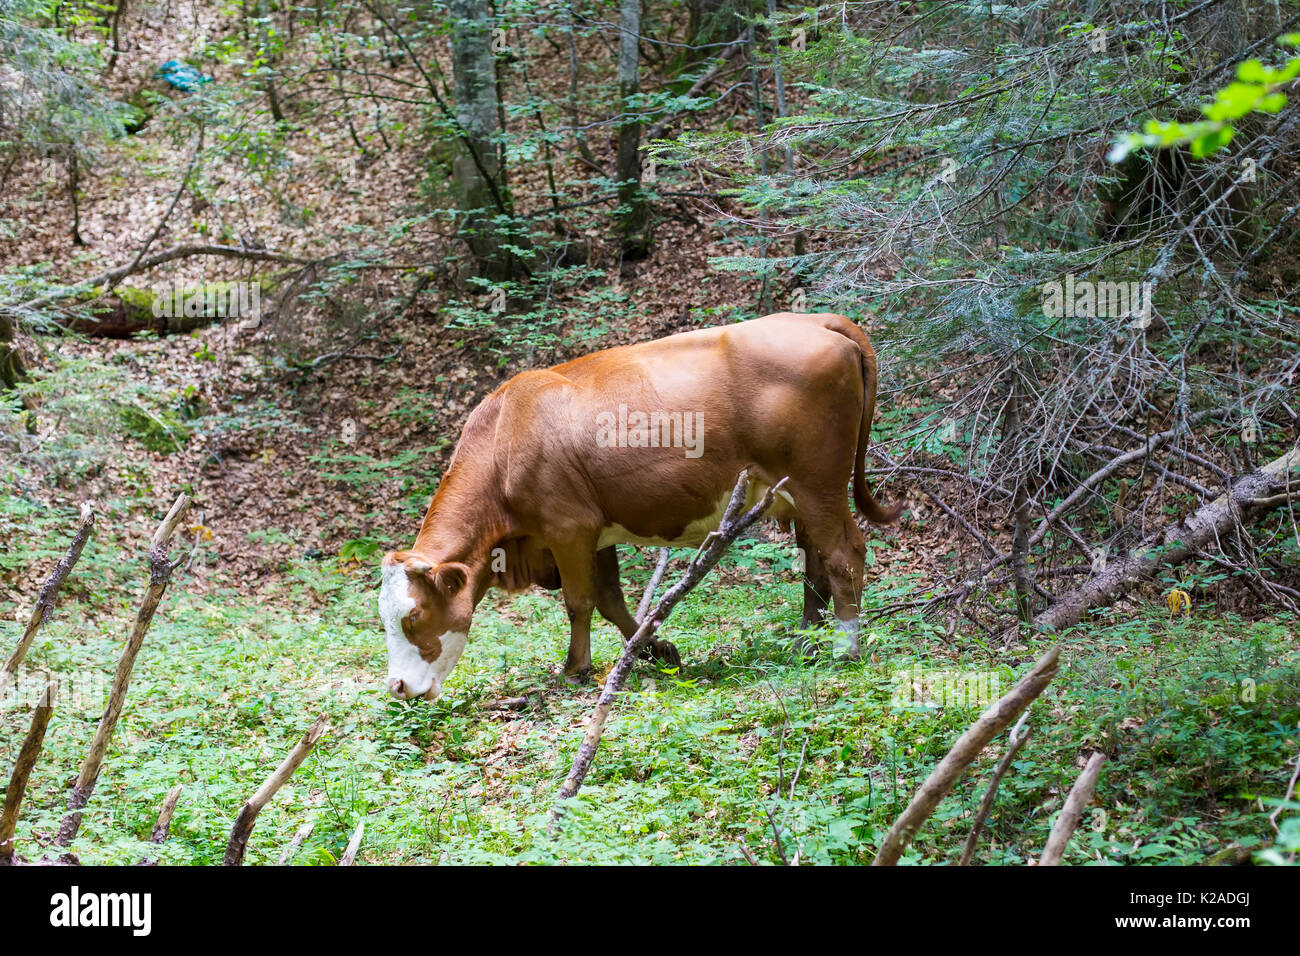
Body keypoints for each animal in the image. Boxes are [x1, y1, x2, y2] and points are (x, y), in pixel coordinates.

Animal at [379, 312, 900, 700]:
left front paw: (575, 669)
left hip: (820, 485)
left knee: (844, 555)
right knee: (814, 564)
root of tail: (818, 320)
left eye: (414, 617)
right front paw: (656, 648)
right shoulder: (594, 531)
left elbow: (579, 602)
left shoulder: (567, 528)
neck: (504, 437)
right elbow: (611, 600)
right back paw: (805, 643)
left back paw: (844, 649)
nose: (398, 686)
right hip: (800, 495)